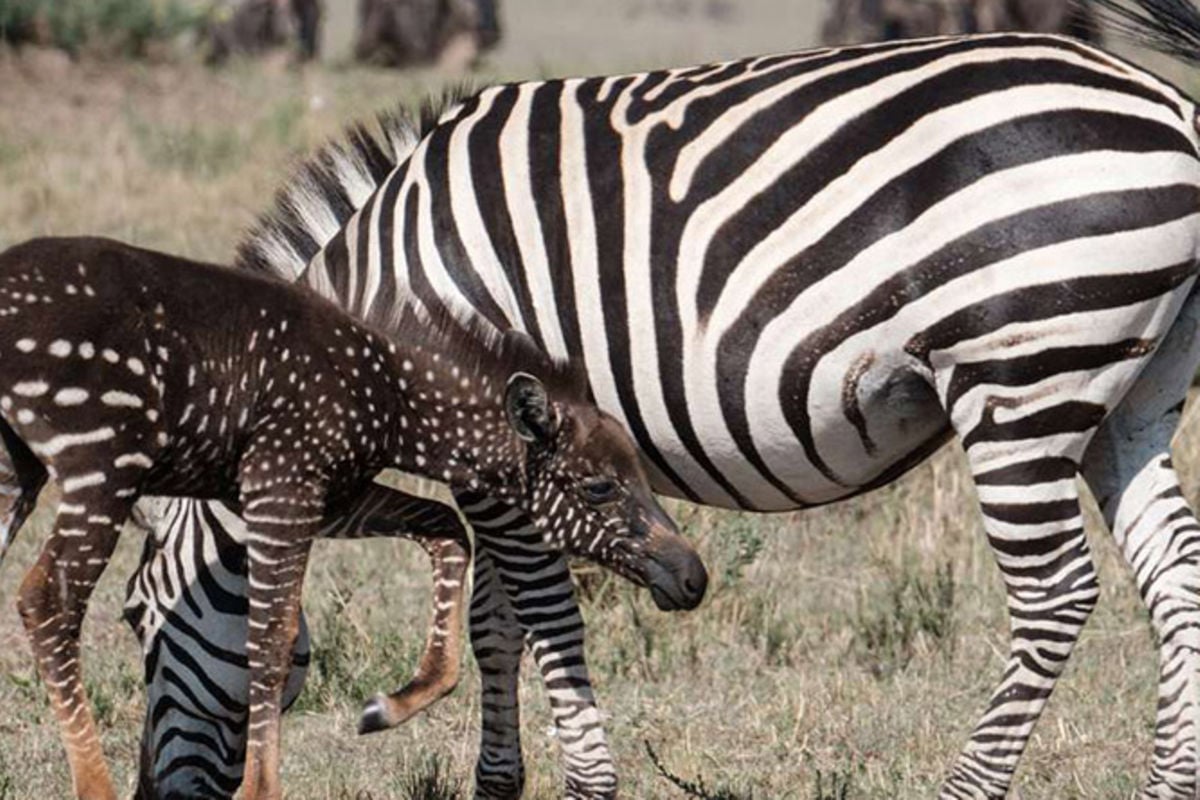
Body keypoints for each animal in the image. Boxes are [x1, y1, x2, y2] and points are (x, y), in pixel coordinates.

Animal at [0, 236, 705, 800]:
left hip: (16, 474)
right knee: (48, 600)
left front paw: (395, 703)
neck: (386, 387)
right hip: (102, 466)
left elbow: (447, 533)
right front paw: (262, 790)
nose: (693, 576)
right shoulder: (283, 485)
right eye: (599, 489)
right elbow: (272, 637)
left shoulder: (337, 498)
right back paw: (94, 787)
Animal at [127, 1, 1200, 796]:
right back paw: (1164, 786)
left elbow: (543, 614)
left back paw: (966, 787)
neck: (395, 297)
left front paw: (583, 783)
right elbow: (498, 621)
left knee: (1055, 593)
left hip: (1021, 370)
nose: (151, 795)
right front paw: (498, 782)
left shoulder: (501, 440)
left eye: (139, 619)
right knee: (1175, 575)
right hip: (1126, 391)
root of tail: (1170, 108)